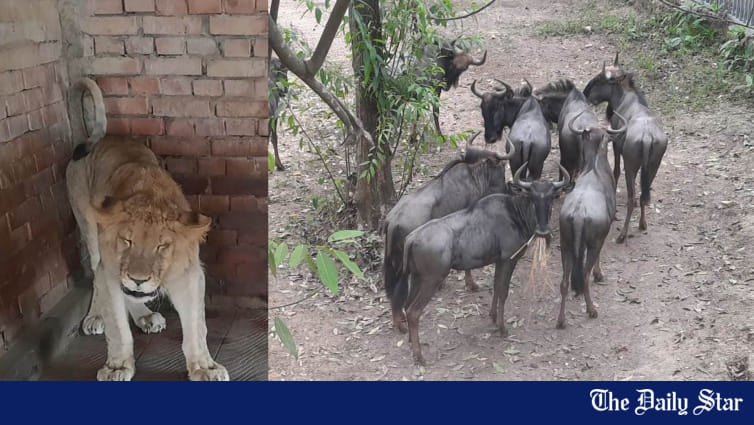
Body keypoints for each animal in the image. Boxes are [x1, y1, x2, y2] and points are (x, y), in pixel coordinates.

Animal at [65, 78, 229, 381]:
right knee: (96, 272)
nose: (138, 279)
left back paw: (145, 316)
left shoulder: (190, 273)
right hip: (87, 224)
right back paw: (98, 316)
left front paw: (204, 367)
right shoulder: (112, 267)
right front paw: (117, 367)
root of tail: (96, 137)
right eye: (126, 241)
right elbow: (118, 329)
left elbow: (196, 327)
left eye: (162, 246)